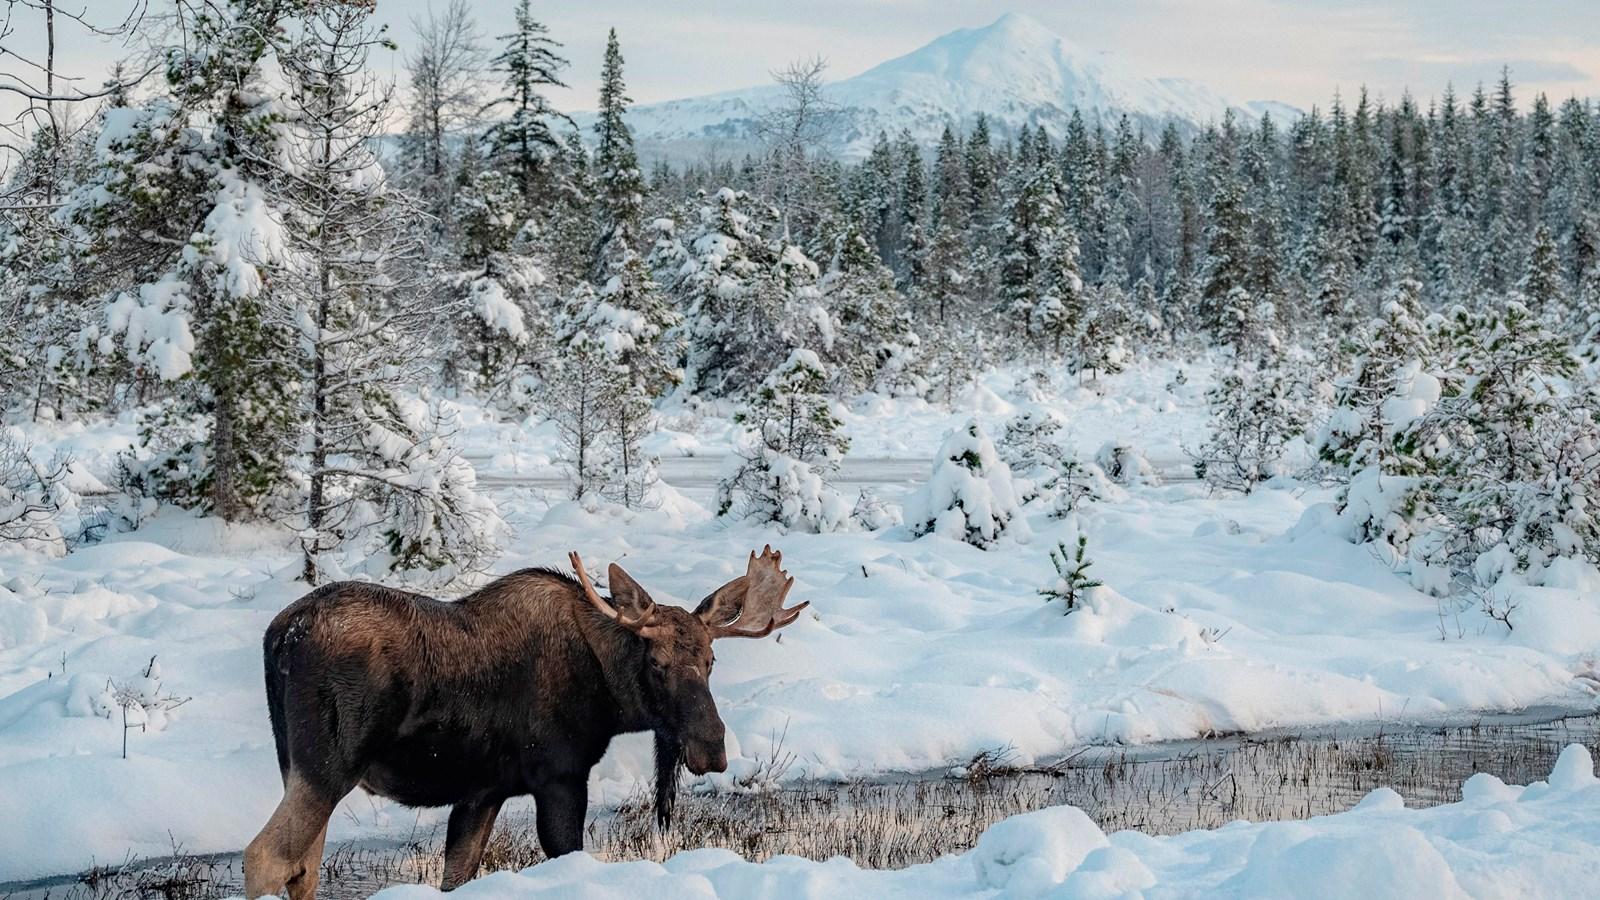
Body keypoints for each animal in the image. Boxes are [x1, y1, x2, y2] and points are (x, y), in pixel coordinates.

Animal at [243, 546, 807, 899]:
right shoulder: (559, 777)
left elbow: (458, 873)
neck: (608, 699)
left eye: (711, 660)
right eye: (656, 663)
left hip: (295, 764)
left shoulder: (482, 792)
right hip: (329, 766)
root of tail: (280, 635)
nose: (712, 749)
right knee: (266, 856)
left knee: (304, 868)